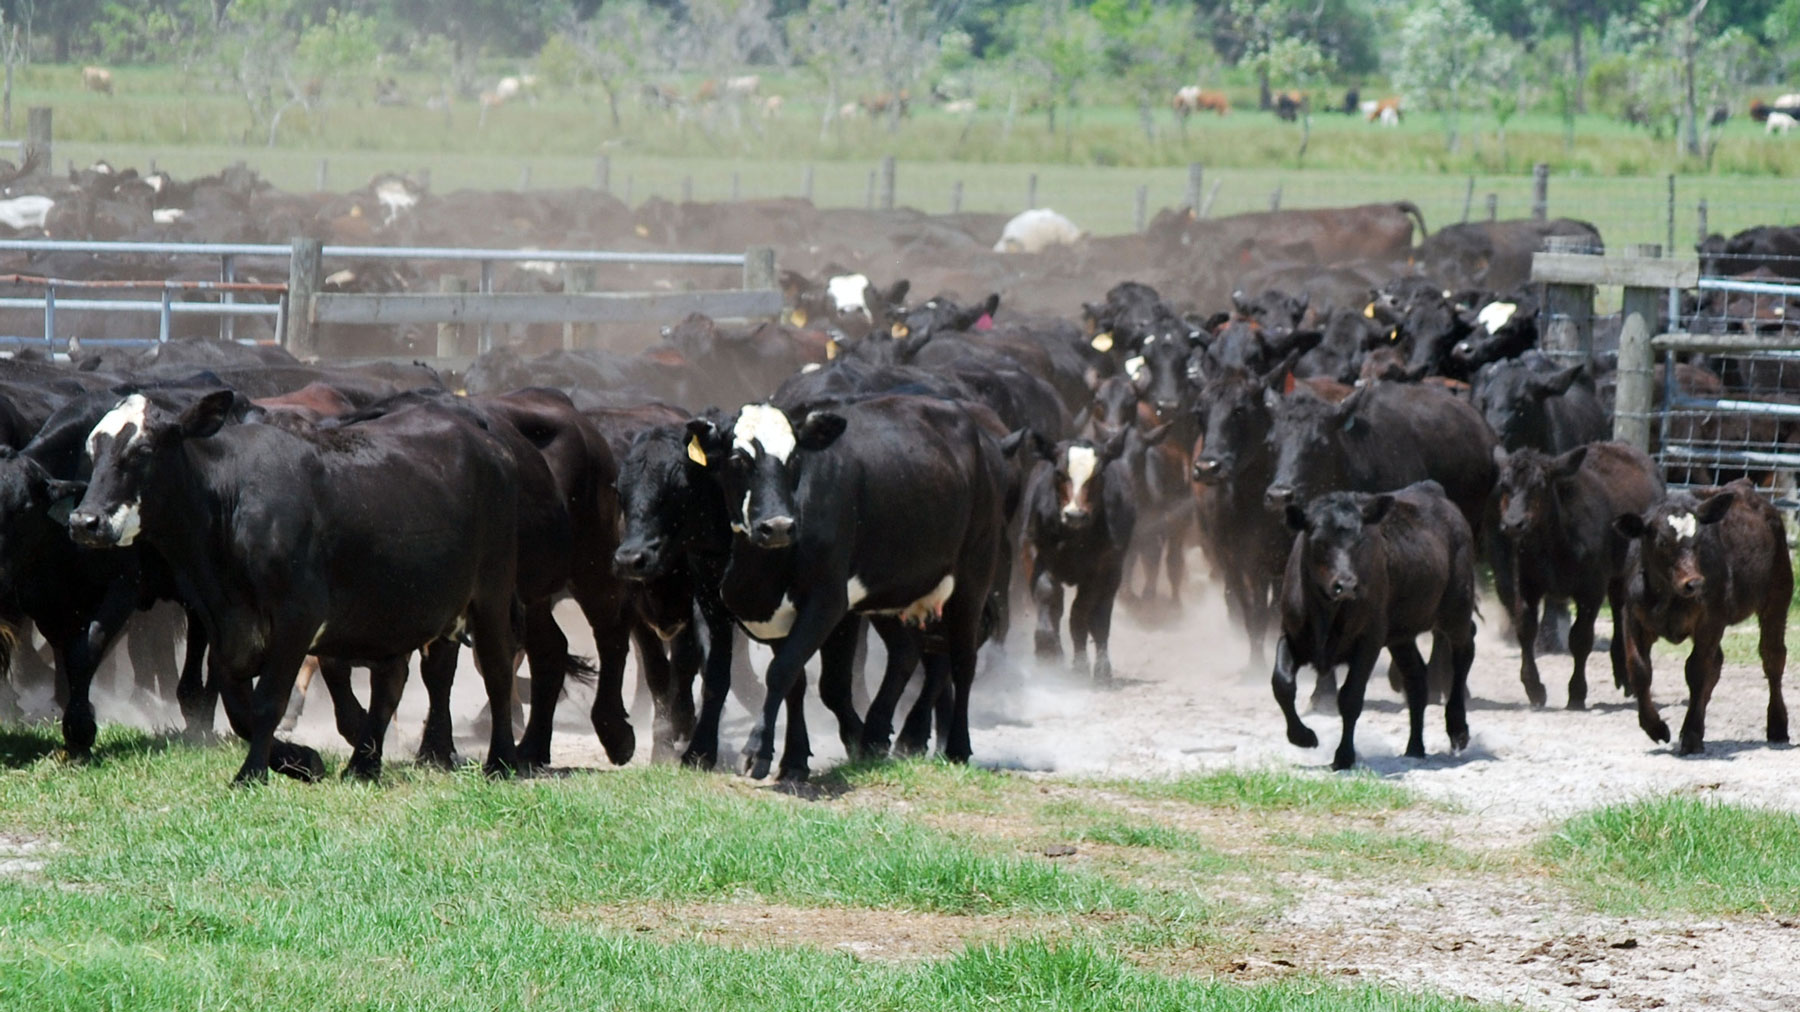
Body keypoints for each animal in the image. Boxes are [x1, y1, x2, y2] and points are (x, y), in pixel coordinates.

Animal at [67, 392, 525, 784]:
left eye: (142, 451)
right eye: (91, 451)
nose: (84, 522)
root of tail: (491, 445)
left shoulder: (297, 618)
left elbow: (268, 701)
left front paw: (252, 773)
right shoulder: (223, 627)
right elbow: (239, 709)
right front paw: (300, 759)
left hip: (491, 593)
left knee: (498, 671)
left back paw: (501, 761)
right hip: (394, 611)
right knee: (390, 682)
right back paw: (362, 765)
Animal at [683, 396, 1010, 779]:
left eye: (795, 459)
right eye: (737, 460)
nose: (778, 526)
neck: (754, 568)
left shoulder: (828, 601)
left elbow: (787, 673)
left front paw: (758, 751)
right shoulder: (712, 601)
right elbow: (732, 680)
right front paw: (707, 751)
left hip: (973, 576)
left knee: (963, 660)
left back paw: (955, 745)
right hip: (890, 591)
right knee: (908, 652)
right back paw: (882, 733)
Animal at [1272, 481, 1478, 771]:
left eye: (1360, 541)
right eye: (1319, 542)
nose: (1346, 585)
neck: (1327, 613)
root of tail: (1432, 490)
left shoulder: (1369, 641)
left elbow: (1350, 697)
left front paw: (1344, 756)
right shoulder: (1291, 636)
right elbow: (1282, 683)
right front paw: (1303, 737)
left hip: (1456, 607)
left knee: (1464, 650)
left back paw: (1458, 729)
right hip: (1400, 635)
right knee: (1416, 677)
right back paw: (1415, 748)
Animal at [1493, 443, 1665, 709]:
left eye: (1539, 486)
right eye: (1504, 485)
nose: (1513, 523)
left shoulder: (1591, 589)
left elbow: (1581, 638)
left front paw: (1576, 692)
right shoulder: (1526, 584)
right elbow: (1526, 629)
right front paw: (1534, 688)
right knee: (1618, 606)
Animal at [1614, 481, 1792, 755]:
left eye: (1698, 541)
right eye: (1661, 542)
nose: (1694, 583)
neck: (1668, 594)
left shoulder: (1710, 620)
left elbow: (1697, 671)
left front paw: (1690, 736)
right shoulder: (1631, 616)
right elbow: (1639, 669)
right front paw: (1655, 727)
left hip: (1777, 597)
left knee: (1772, 658)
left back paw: (1777, 725)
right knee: (1718, 663)